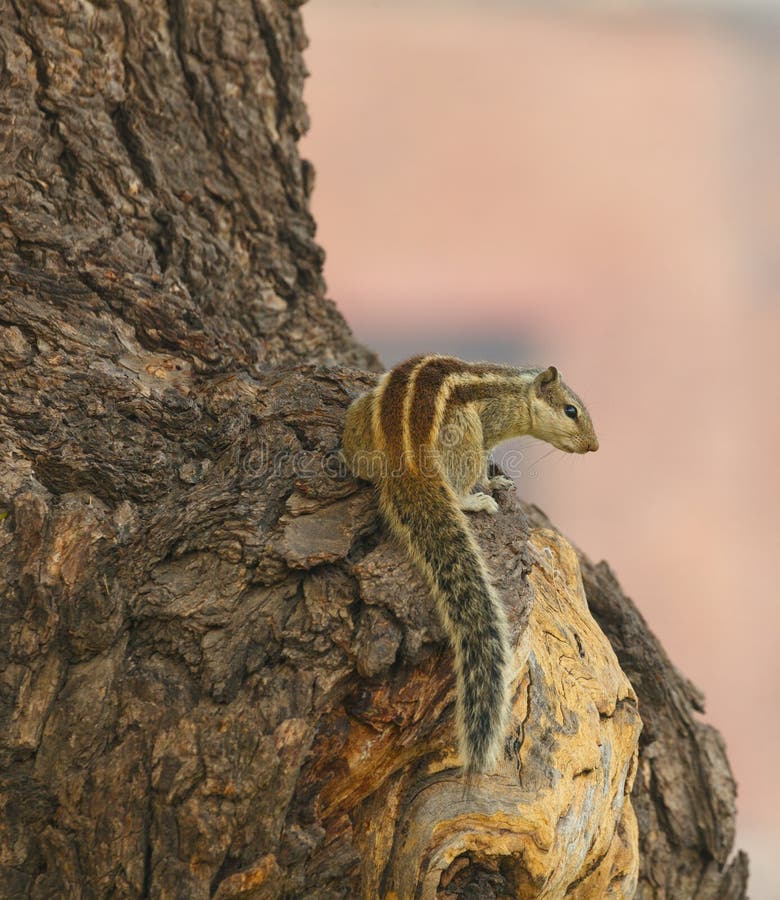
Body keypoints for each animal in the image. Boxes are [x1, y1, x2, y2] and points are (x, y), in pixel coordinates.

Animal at [341, 354, 599, 774]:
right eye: (571, 410)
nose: (594, 446)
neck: (515, 389)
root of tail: (404, 456)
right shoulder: (491, 424)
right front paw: (494, 484)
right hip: (466, 434)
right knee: (461, 480)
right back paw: (475, 500)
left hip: (362, 419)